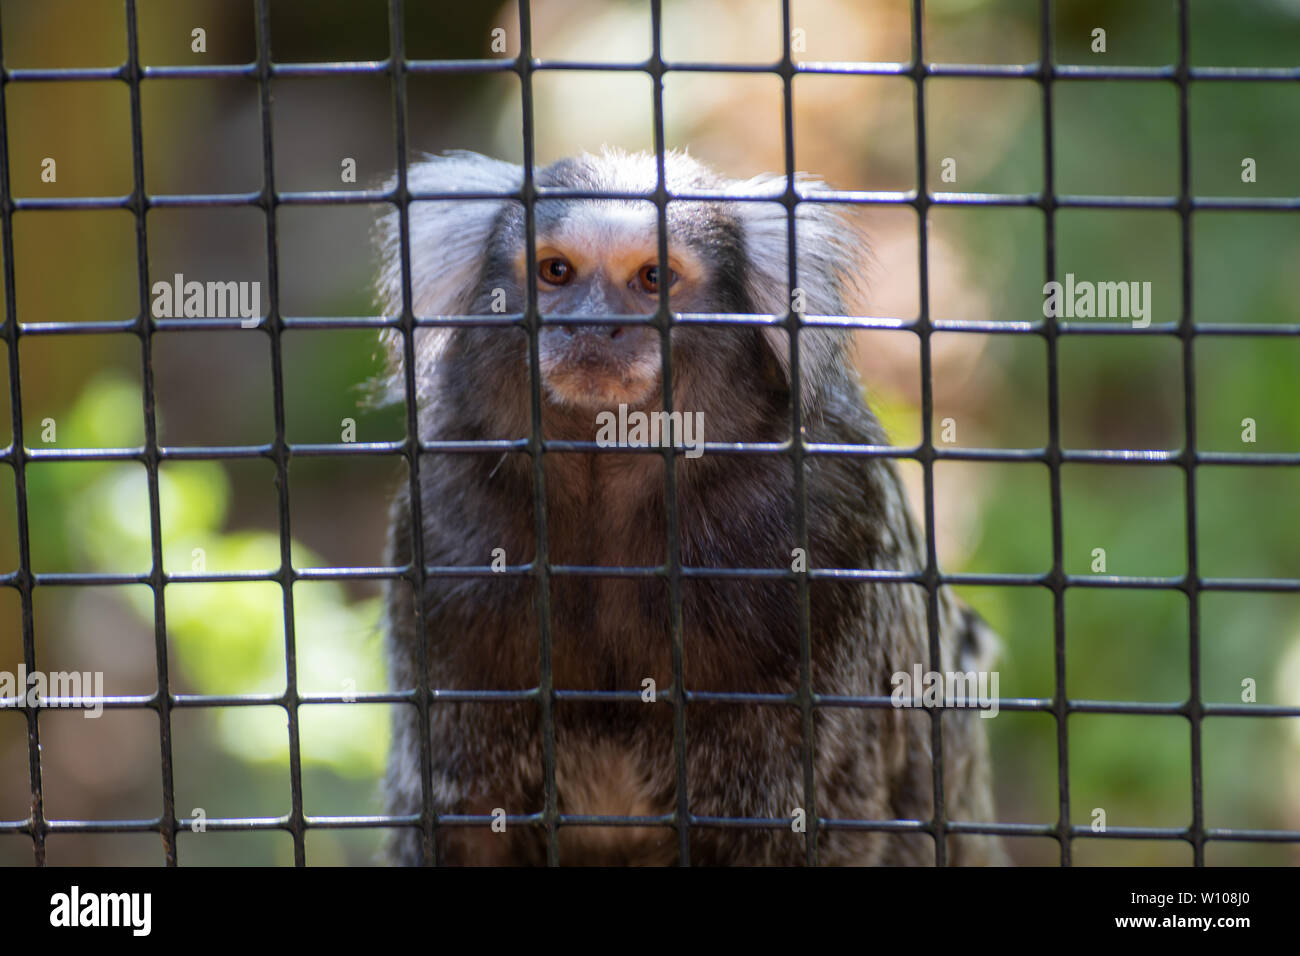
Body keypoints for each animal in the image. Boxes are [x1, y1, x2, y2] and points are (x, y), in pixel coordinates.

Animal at [373, 148, 1007, 866]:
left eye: (654, 278)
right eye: (555, 270)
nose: (590, 327)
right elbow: (470, 817)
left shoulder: (830, 528)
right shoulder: (443, 523)